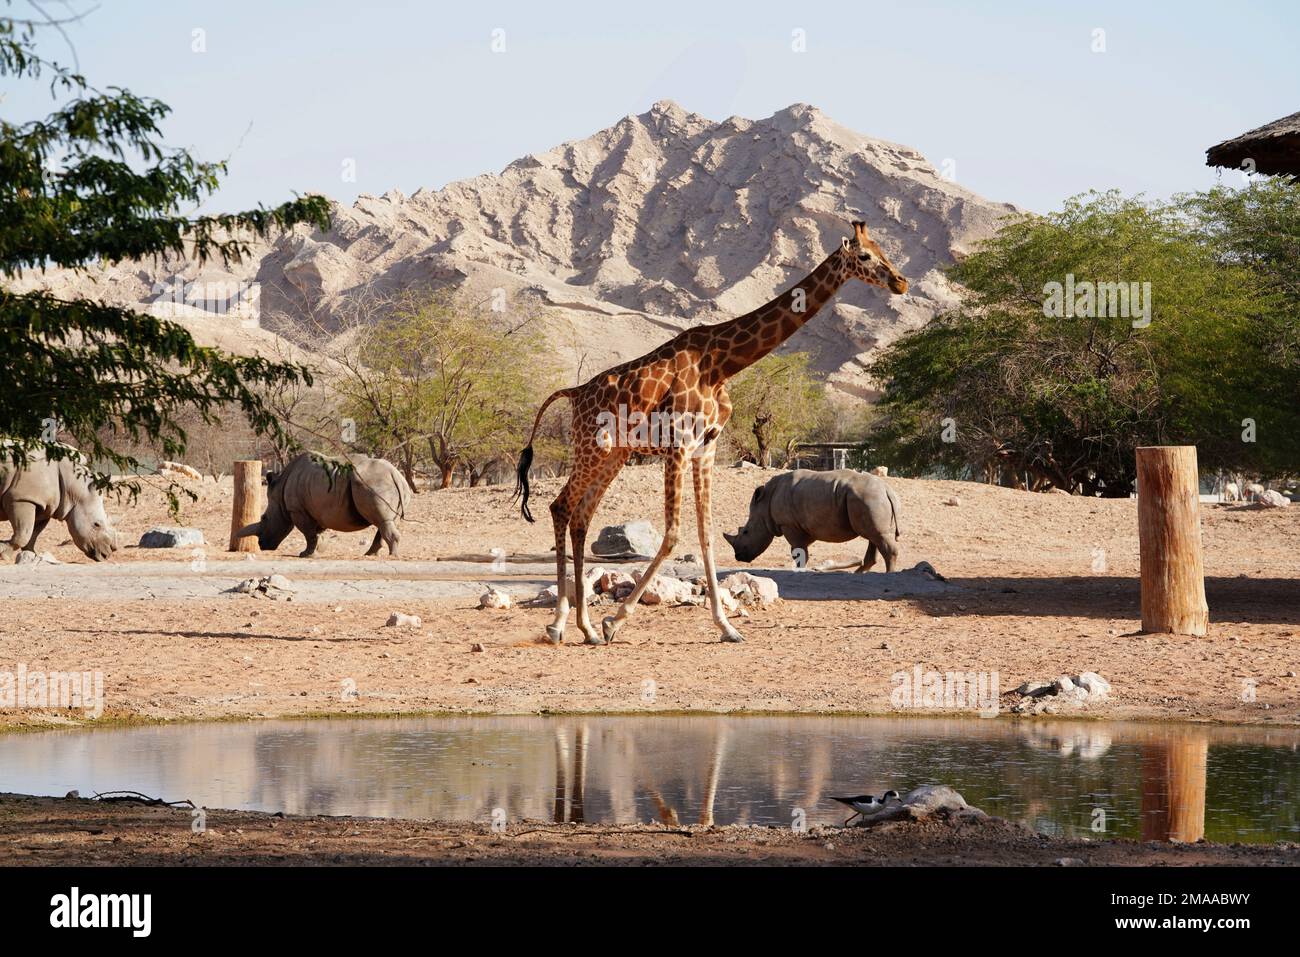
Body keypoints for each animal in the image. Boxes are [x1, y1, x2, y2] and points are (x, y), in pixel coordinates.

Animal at [238, 453, 412, 557]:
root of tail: (395, 474)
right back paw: (370, 555)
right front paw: (319, 550)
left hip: (373, 483)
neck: (279, 491)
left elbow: (309, 534)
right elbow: (316, 533)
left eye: (264, 518)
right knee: (385, 522)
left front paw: (305, 554)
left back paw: (392, 556)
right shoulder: (317, 508)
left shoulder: (297, 510)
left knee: (382, 521)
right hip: (390, 485)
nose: (261, 545)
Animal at [723, 469, 901, 572]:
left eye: (746, 532)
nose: (738, 556)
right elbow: (803, 550)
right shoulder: (805, 525)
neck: (764, 503)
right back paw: (858, 574)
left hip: (868, 498)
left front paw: (801, 570)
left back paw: (888, 575)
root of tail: (887, 489)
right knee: (874, 536)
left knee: (877, 536)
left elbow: (799, 552)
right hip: (869, 499)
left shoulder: (788, 524)